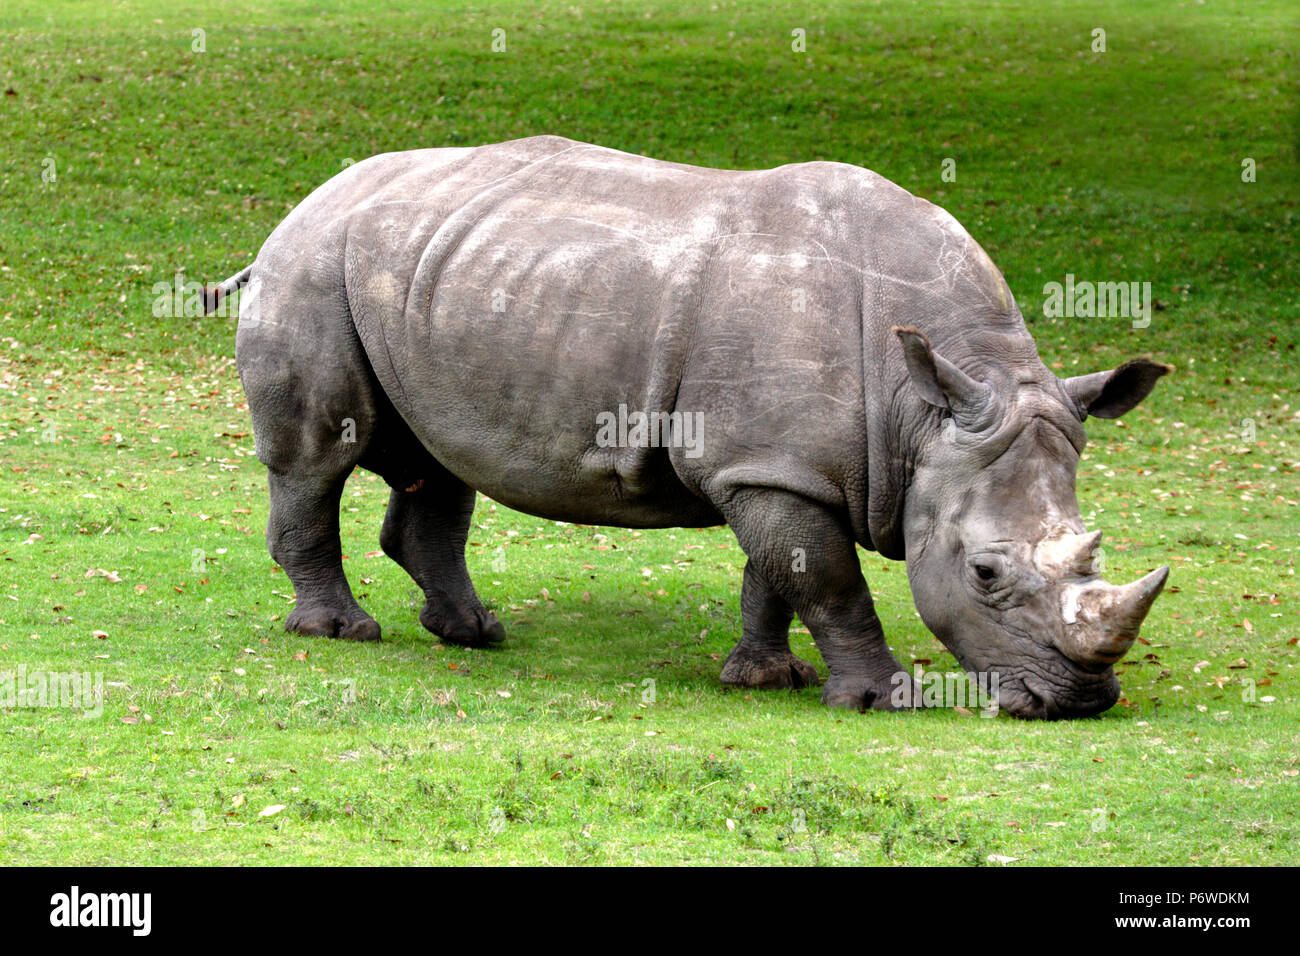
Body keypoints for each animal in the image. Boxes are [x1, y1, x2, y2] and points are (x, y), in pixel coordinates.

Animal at [212, 135, 1170, 719]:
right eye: (984, 574)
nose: (1081, 700)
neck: (924, 412)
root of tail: (296, 210)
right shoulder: (771, 465)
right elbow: (828, 579)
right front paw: (878, 700)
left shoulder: (771, 462)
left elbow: (776, 574)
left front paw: (766, 679)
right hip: (313, 268)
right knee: (316, 459)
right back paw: (341, 633)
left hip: (427, 275)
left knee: (440, 462)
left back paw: (474, 634)